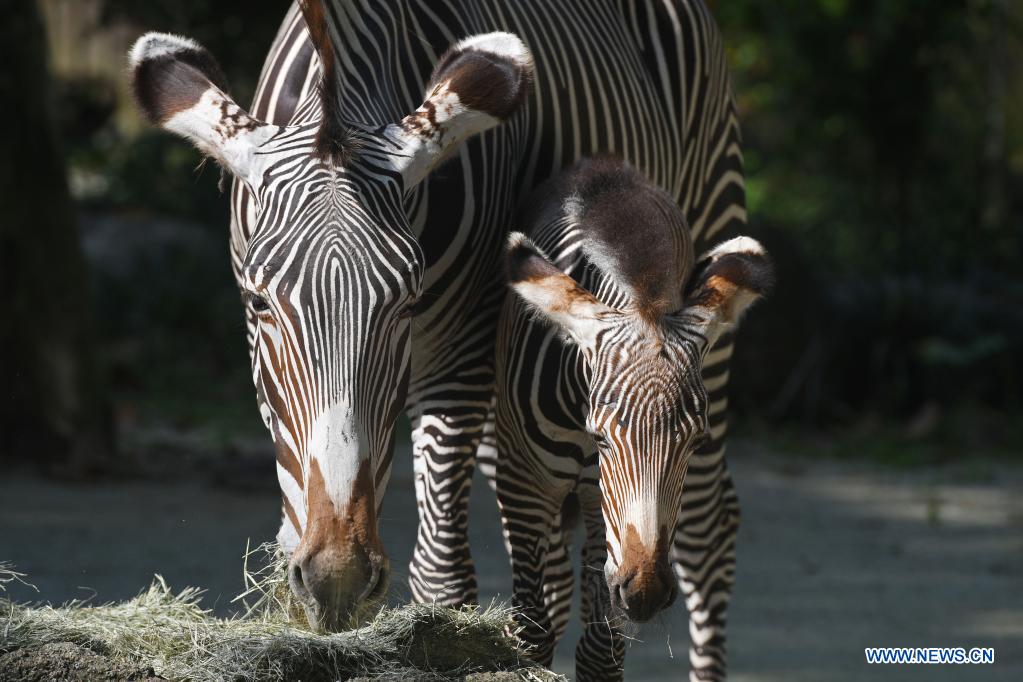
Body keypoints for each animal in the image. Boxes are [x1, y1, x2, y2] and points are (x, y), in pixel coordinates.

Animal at [128, 1, 747, 669]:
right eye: (258, 301)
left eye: (408, 300)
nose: (338, 580)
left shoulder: (461, 357)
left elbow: (443, 578)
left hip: (705, 271)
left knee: (709, 530)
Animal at [492, 156, 772, 680]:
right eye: (601, 438)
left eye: (695, 440)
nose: (644, 593)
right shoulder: (520, 483)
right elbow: (530, 631)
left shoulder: (604, 512)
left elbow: (601, 653)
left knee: (710, 541)